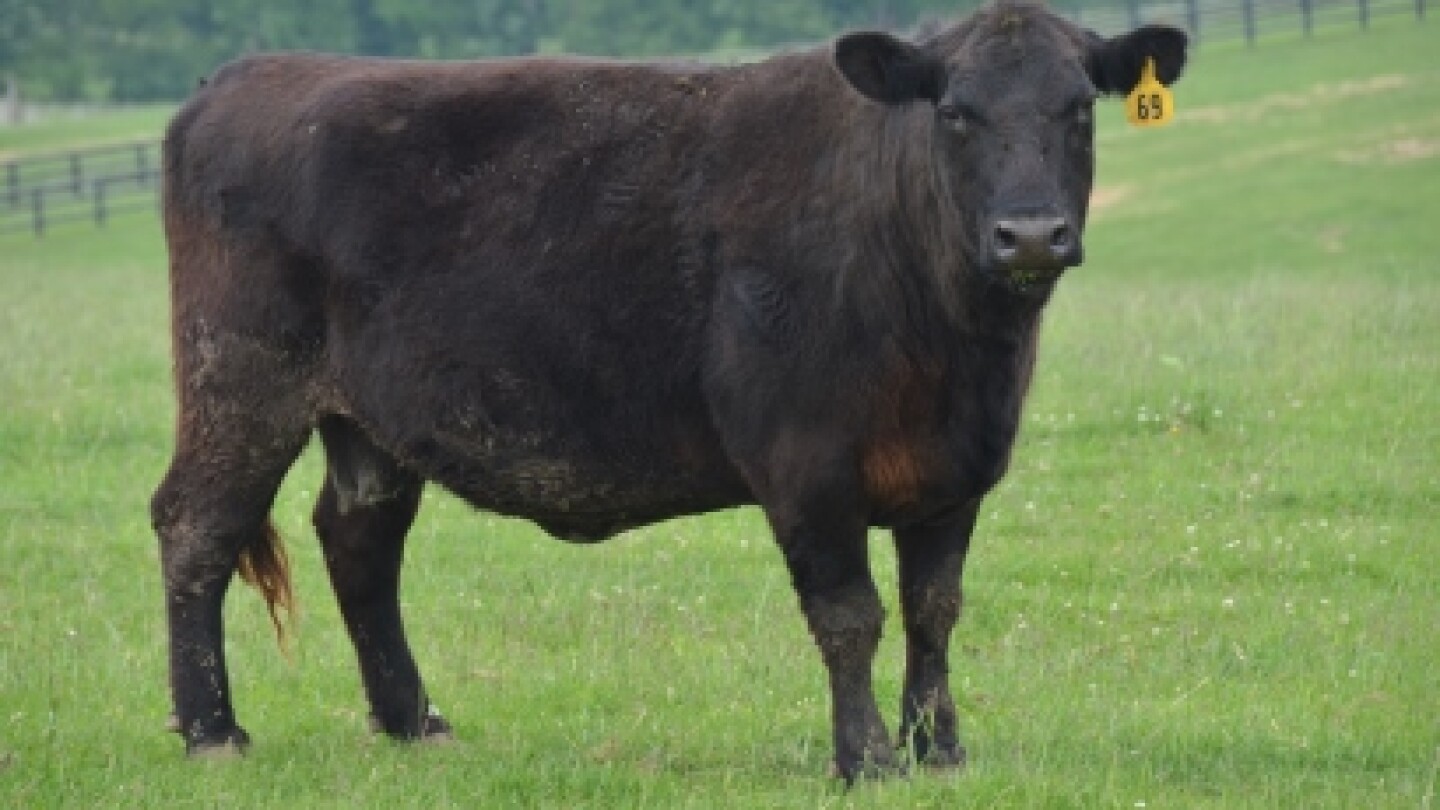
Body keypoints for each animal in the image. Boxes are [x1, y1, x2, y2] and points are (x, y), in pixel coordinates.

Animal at [151, 0, 1187, 780]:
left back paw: (414, 720)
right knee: (197, 524)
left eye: (1079, 109)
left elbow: (934, 610)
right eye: (957, 112)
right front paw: (866, 759)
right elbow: (851, 616)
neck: (954, 352)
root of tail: (242, 78)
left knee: (360, 538)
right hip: (239, 379)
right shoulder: (806, 465)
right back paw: (213, 732)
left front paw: (941, 750)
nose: (1031, 234)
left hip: (368, 416)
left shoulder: (953, 472)